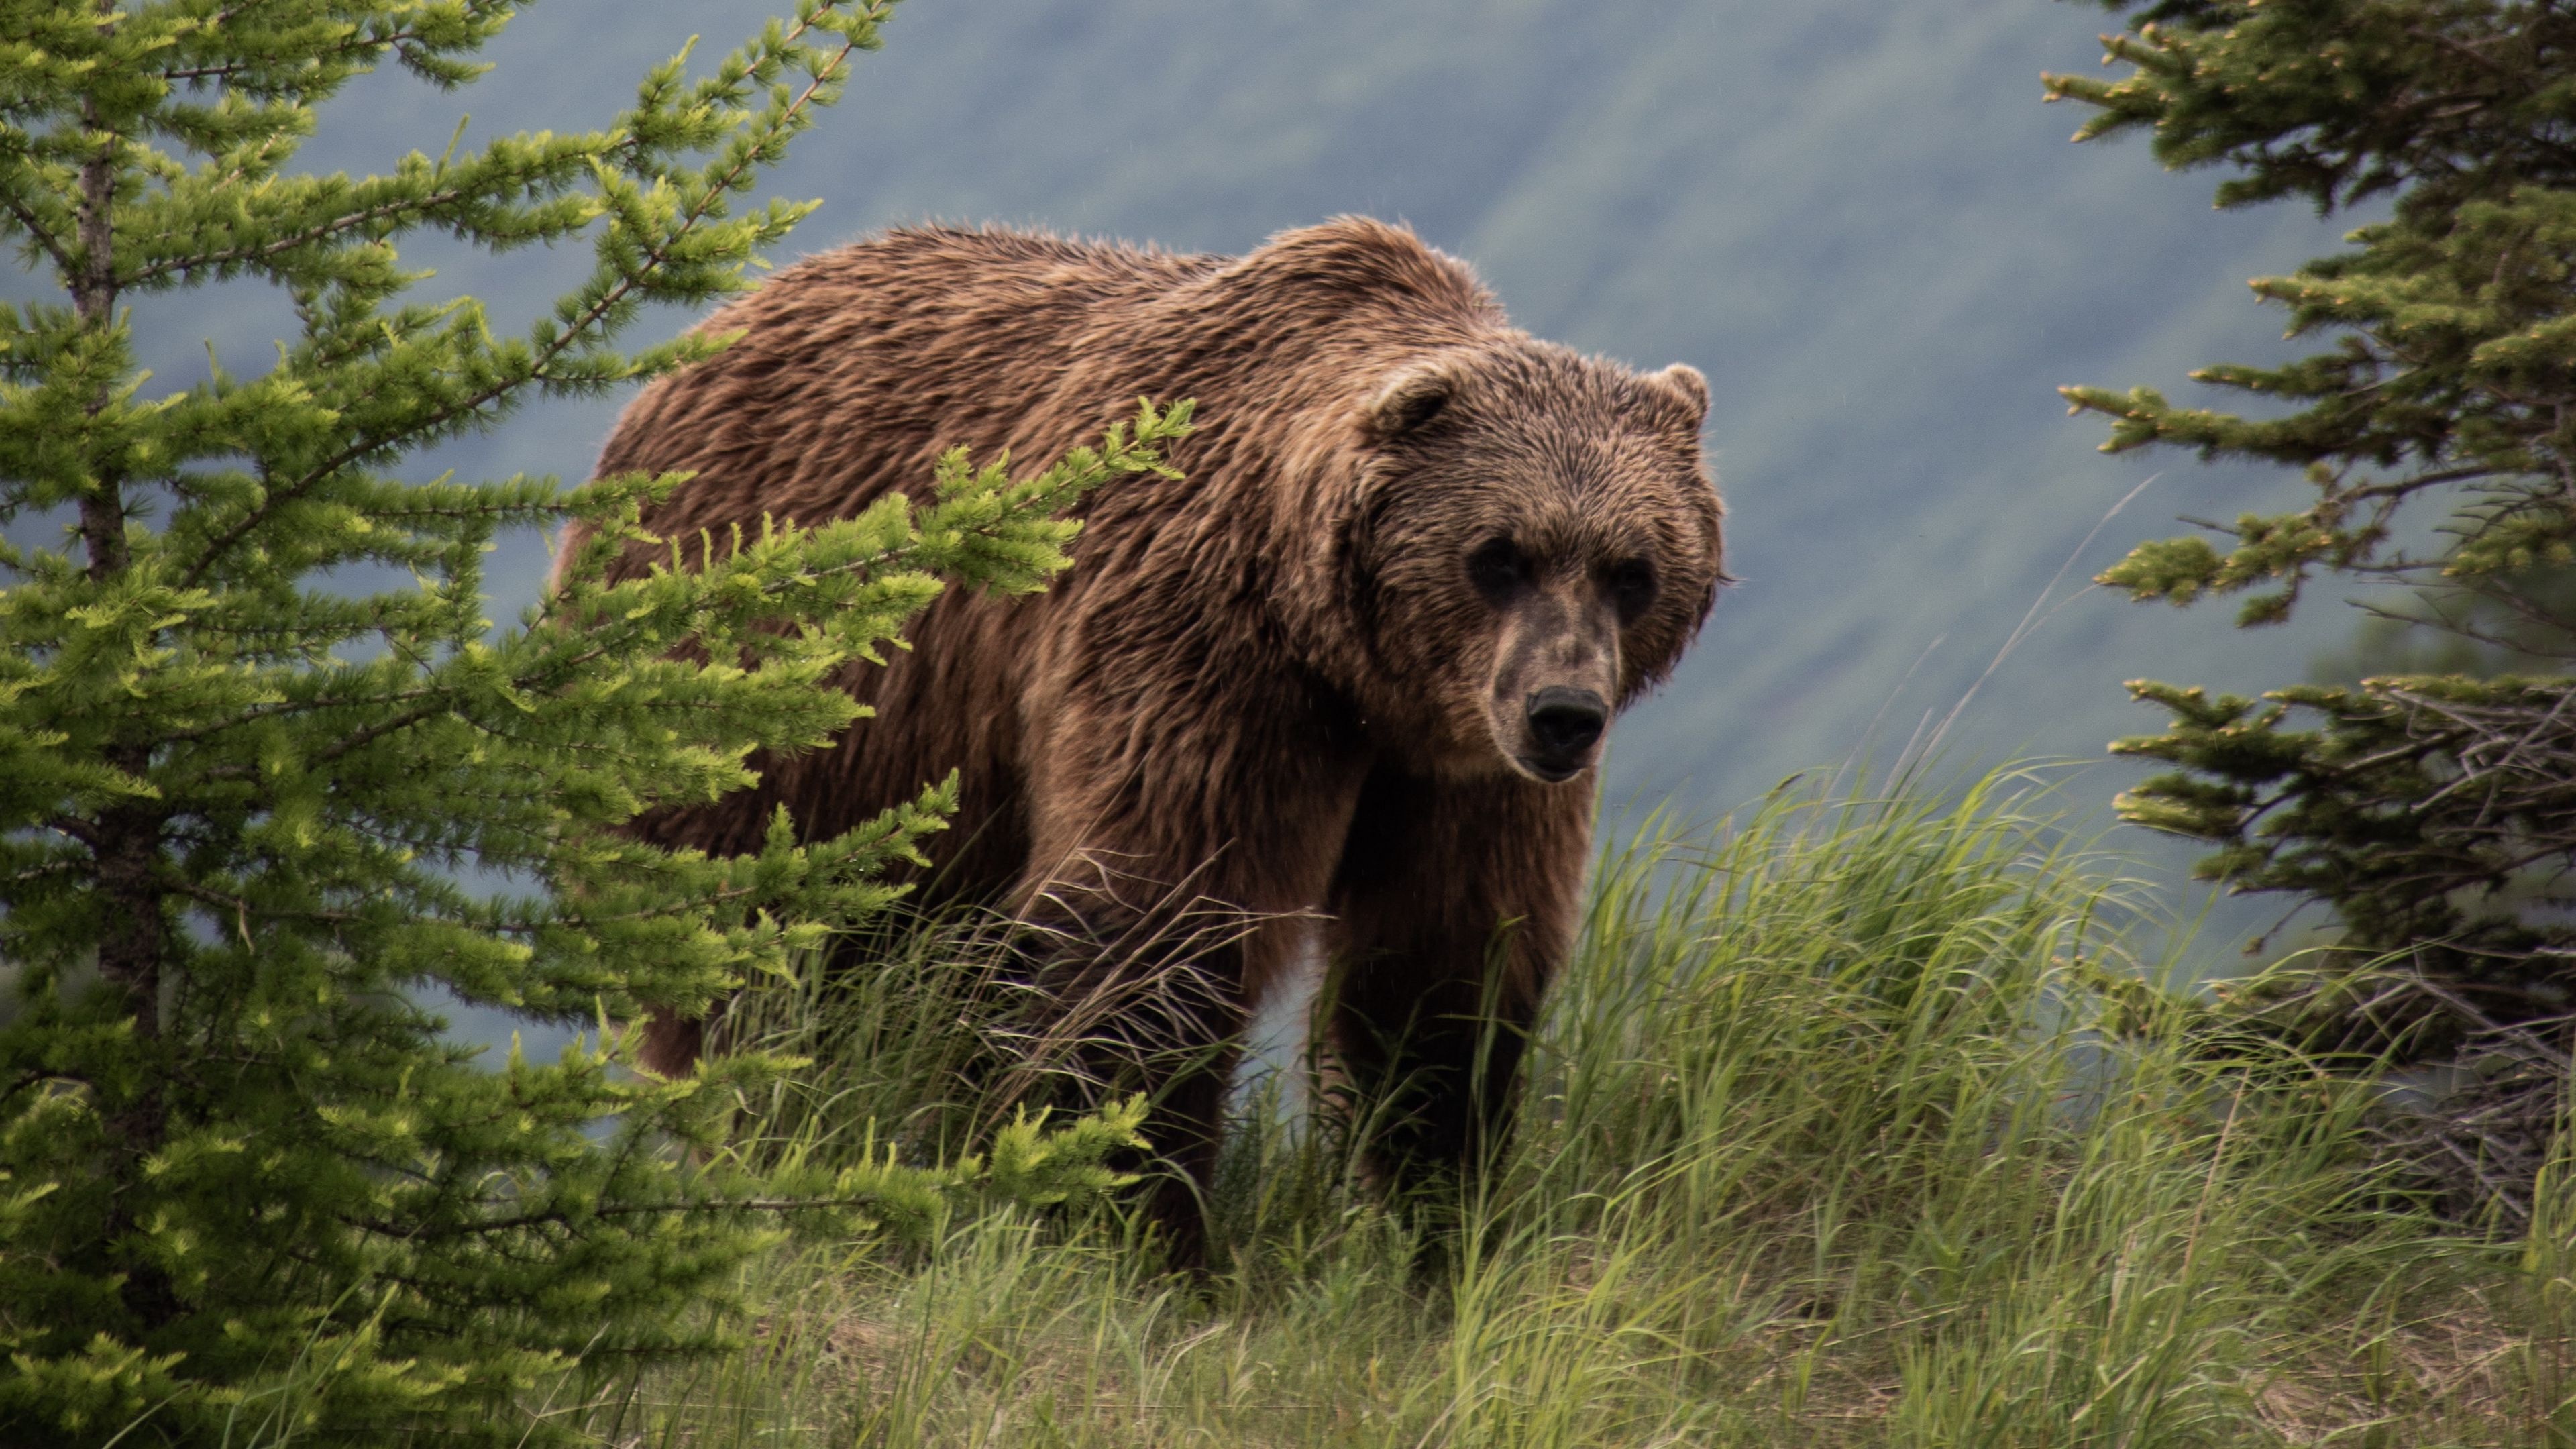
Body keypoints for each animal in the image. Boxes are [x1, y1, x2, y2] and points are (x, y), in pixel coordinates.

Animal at [563, 217, 1726, 1263]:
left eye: (1633, 569)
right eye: (1500, 554)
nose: (1564, 713)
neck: (1348, 664)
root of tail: (713, 329)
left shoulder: (1459, 768)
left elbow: (1444, 969)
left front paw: (1431, 1224)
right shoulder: (1201, 655)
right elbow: (1154, 928)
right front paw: (1135, 1230)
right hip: (779, 714)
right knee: (770, 968)